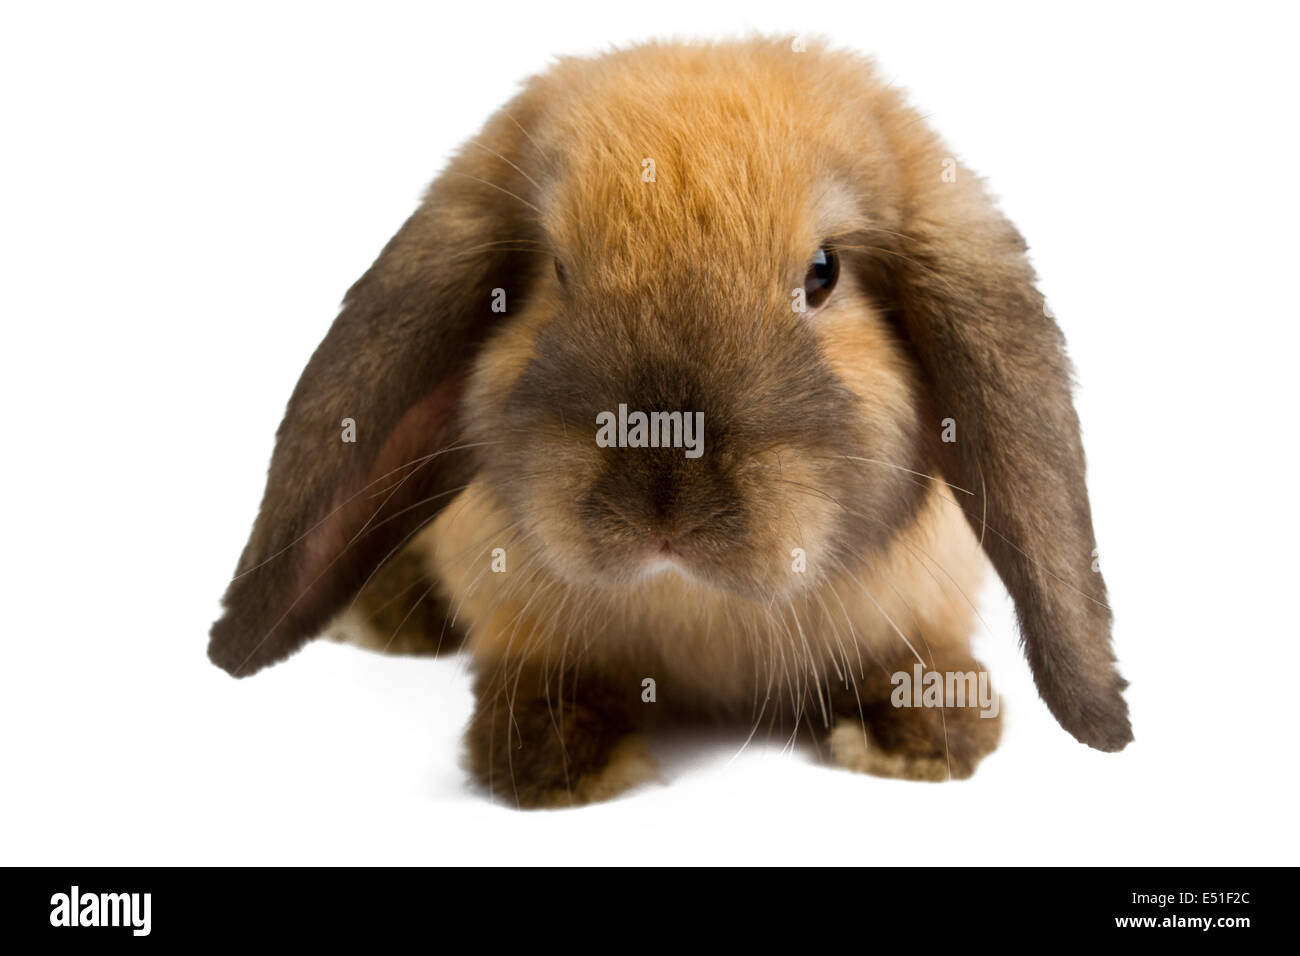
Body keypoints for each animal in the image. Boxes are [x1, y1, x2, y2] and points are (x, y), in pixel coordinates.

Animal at [209, 37, 1130, 808]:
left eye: (822, 273)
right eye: (556, 271)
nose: (663, 489)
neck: (697, 606)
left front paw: (926, 733)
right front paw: (551, 757)